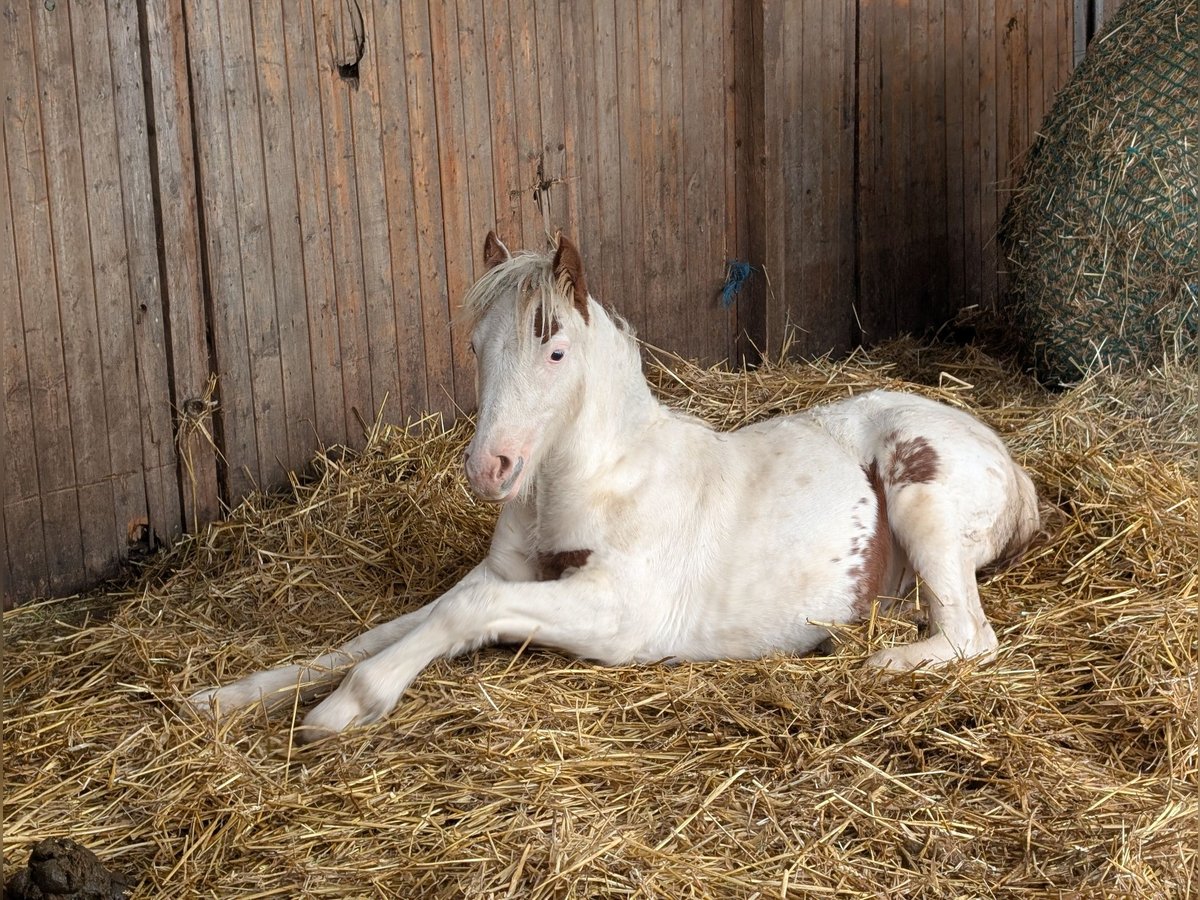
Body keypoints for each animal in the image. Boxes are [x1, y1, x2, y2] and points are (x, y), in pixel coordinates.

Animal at [189, 232, 1040, 742]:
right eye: (475, 345)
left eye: (556, 350)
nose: (489, 468)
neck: (594, 483)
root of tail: (1013, 464)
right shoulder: (506, 573)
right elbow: (382, 630)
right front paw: (224, 696)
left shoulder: (620, 615)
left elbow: (462, 615)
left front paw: (346, 706)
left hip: (923, 496)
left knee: (971, 636)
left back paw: (880, 662)